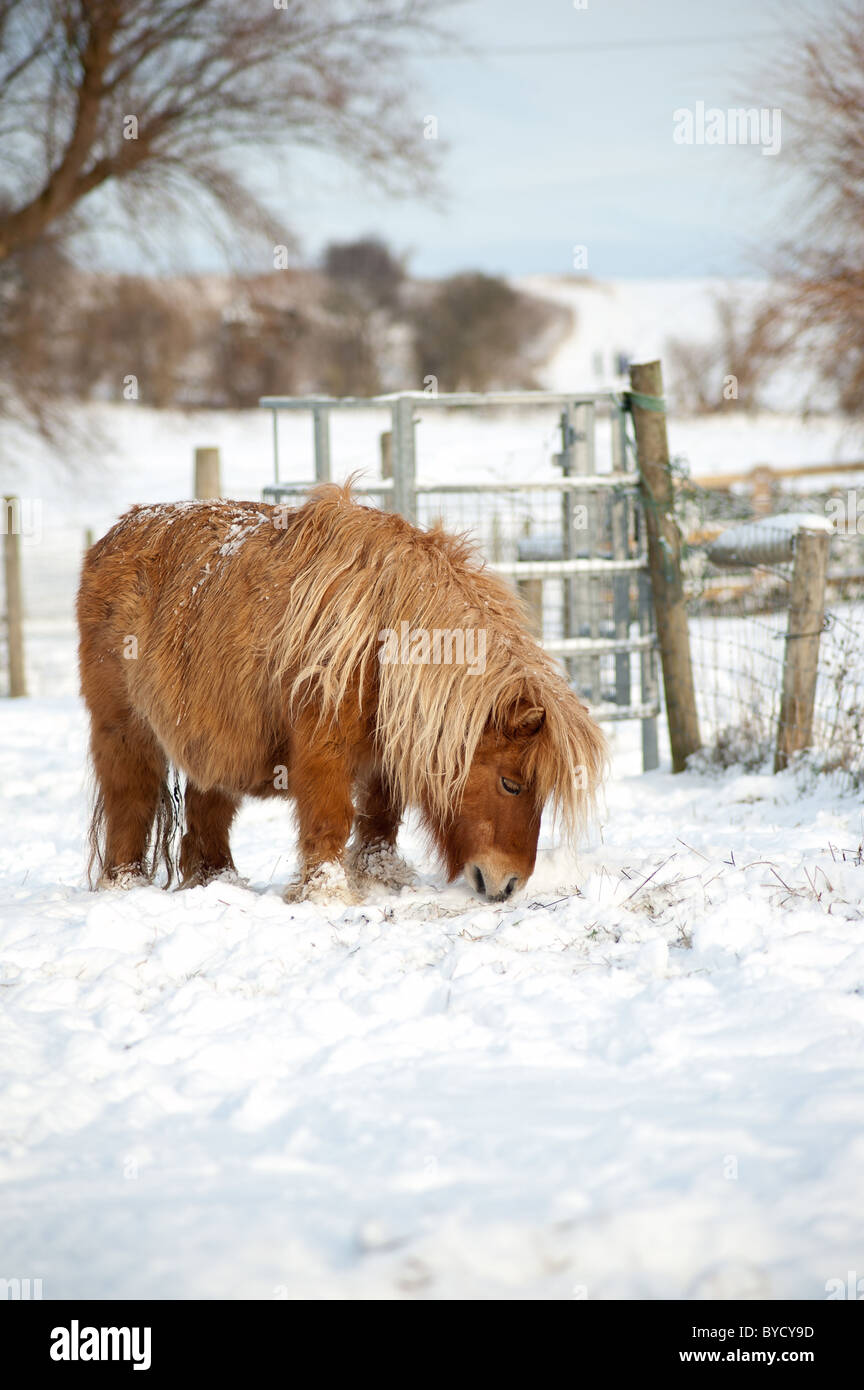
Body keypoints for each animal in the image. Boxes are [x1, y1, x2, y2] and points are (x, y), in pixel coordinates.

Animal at [77, 484, 606, 902]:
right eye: (511, 784)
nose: (510, 884)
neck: (383, 630)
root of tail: (114, 536)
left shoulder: (387, 745)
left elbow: (380, 820)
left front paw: (380, 879)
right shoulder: (322, 748)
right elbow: (330, 819)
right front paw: (327, 893)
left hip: (213, 736)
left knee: (208, 813)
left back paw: (217, 881)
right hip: (123, 731)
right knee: (130, 803)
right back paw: (125, 884)